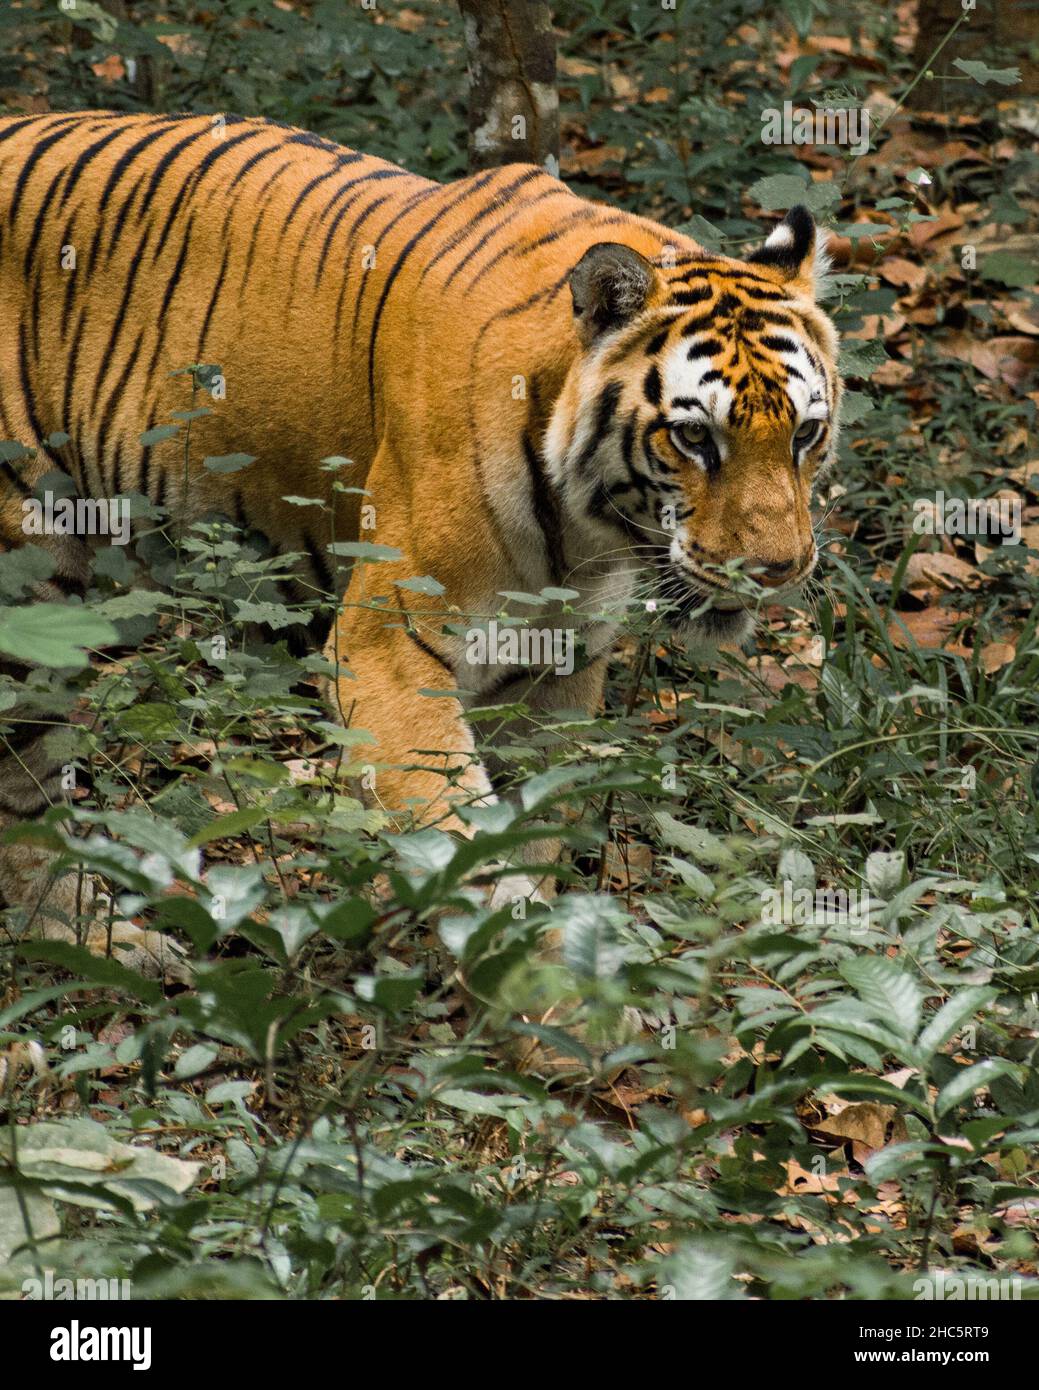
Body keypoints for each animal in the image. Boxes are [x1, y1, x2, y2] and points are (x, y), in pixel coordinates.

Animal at [0, 110, 840, 973]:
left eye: (805, 433)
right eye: (694, 438)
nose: (776, 570)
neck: (583, 533)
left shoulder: (553, 674)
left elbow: (529, 835)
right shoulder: (384, 653)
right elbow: (464, 846)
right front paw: (549, 987)